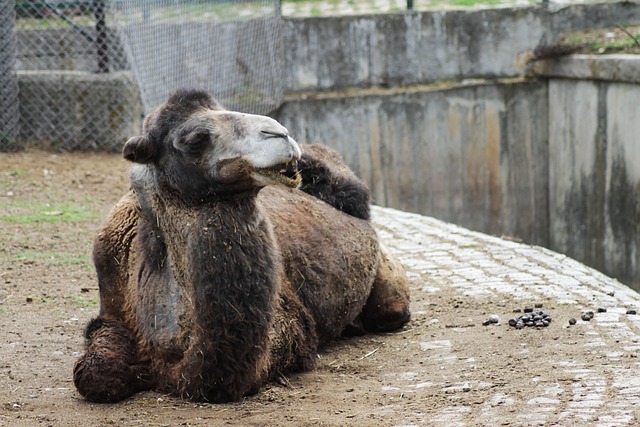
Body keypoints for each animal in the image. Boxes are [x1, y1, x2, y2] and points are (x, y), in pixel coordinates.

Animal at [73, 88, 411, 403]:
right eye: (195, 139)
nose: (280, 133)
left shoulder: (292, 328)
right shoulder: (110, 305)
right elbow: (94, 373)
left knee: (391, 309)